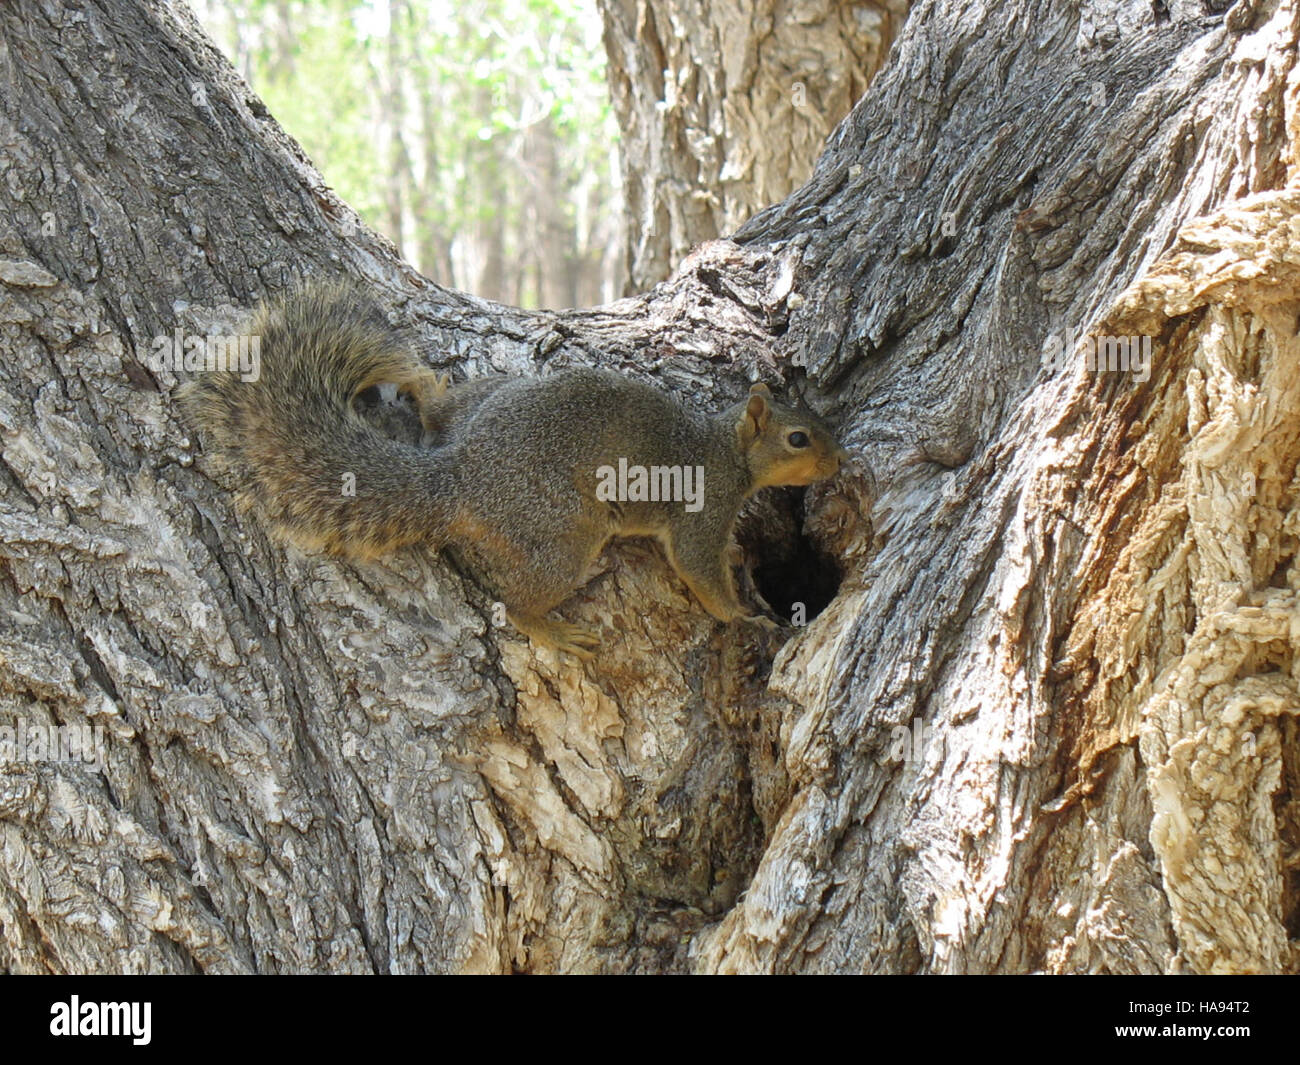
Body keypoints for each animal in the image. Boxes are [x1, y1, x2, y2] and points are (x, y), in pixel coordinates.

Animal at [181, 284, 847, 658]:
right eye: (798, 439)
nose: (839, 461)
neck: (725, 449)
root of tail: (460, 477)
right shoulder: (700, 512)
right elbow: (700, 571)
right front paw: (743, 616)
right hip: (562, 530)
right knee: (518, 603)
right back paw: (553, 630)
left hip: (485, 405)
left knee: (440, 409)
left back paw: (430, 387)